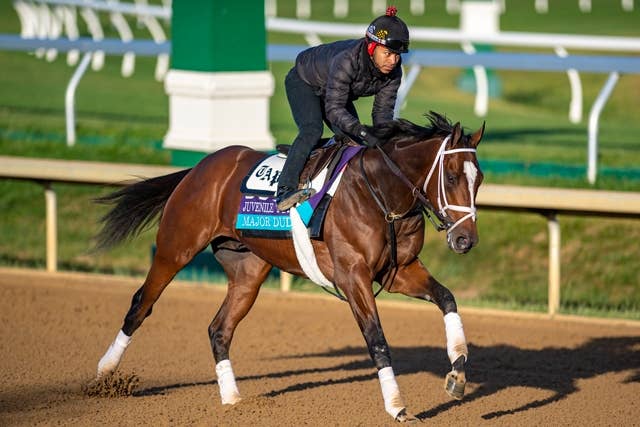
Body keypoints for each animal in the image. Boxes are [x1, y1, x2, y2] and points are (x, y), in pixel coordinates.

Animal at [93, 111, 484, 423]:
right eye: (451, 177)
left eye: (478, 179)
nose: (466, 240)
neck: (381, 195)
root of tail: (201, 167)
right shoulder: (352, 275)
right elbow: (377, 339)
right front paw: (397, 406)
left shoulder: (397, 272)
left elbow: (447, 298)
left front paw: (457, 373)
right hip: (175, 249)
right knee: (141, 304)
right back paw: (104, 376)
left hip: (248, 272)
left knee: (219, 328)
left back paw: (232, 400)